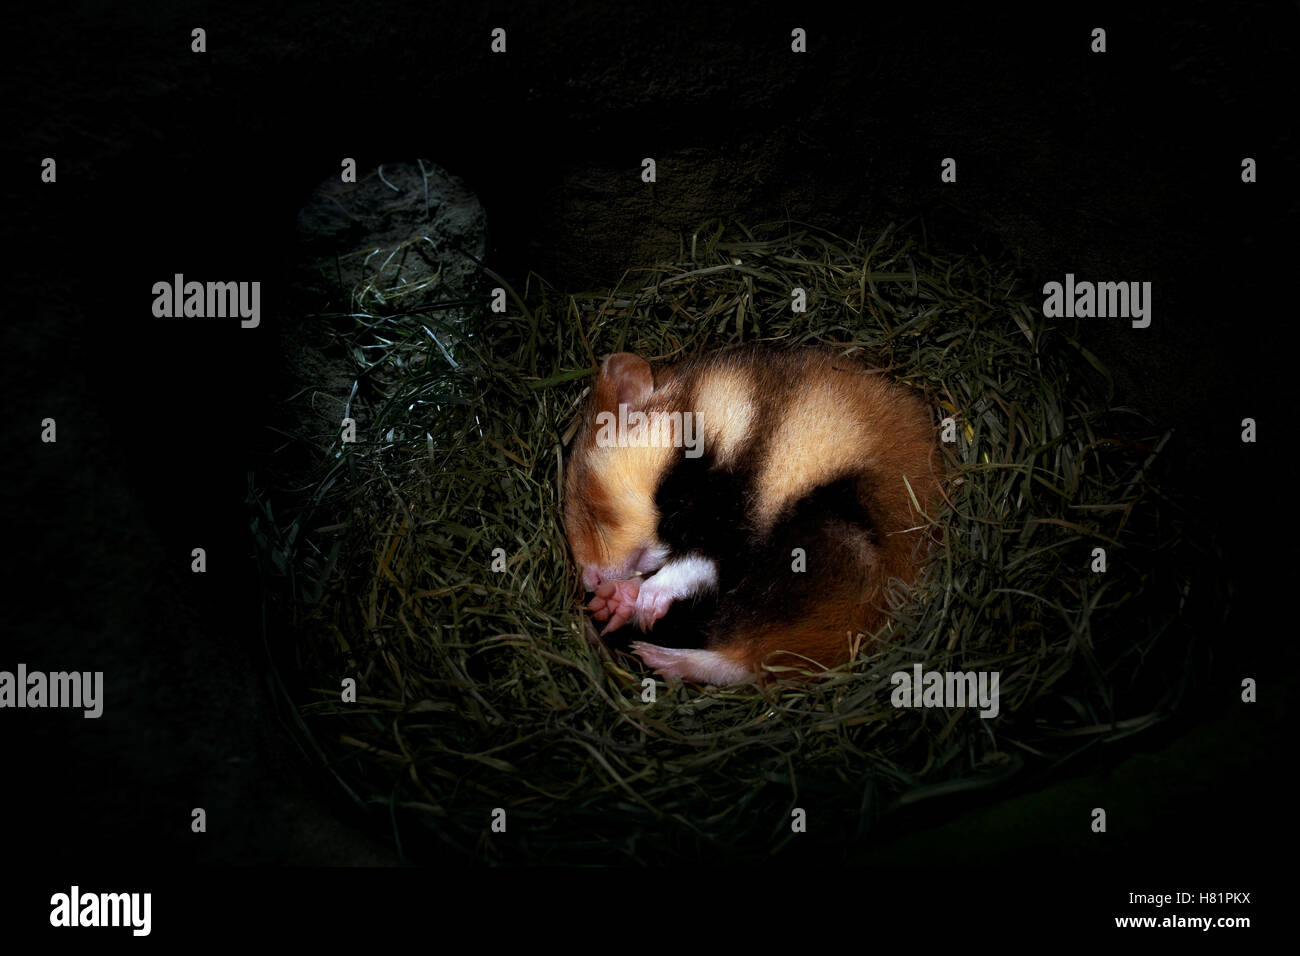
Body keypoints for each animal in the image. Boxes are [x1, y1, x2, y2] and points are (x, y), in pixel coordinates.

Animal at [563, 345, 940, 685]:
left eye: (591, 504)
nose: (590, 585)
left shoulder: (731, 515)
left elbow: (687, 565)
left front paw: (644, 603)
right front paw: (612, 603)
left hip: (822, 548)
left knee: (757, 660)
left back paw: (658, 655)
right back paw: (615, 611)